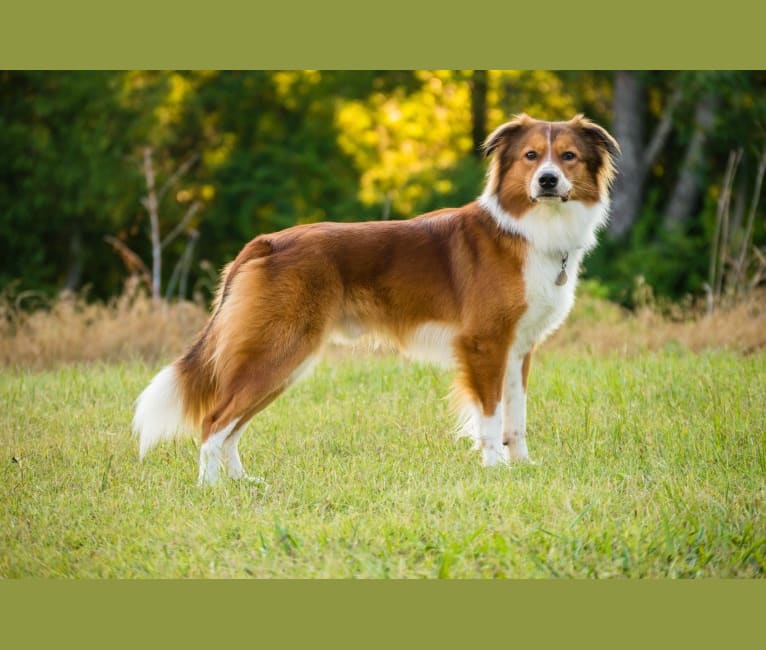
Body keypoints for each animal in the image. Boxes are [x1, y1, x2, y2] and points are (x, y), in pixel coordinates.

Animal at [135, 114, 620, 484]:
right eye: (531, 156)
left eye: (568, 156)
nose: (548, 181)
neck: (528, 229)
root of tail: (266, 241)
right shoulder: (484, 344)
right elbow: (490, 415)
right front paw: (496, 469)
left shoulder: (518, 349)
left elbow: (515, 417)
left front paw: (521, 466)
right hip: (279, 350)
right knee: (215, 421)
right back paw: (212, 488)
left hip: (280, 362)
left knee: (233, 424)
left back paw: (240, 482)